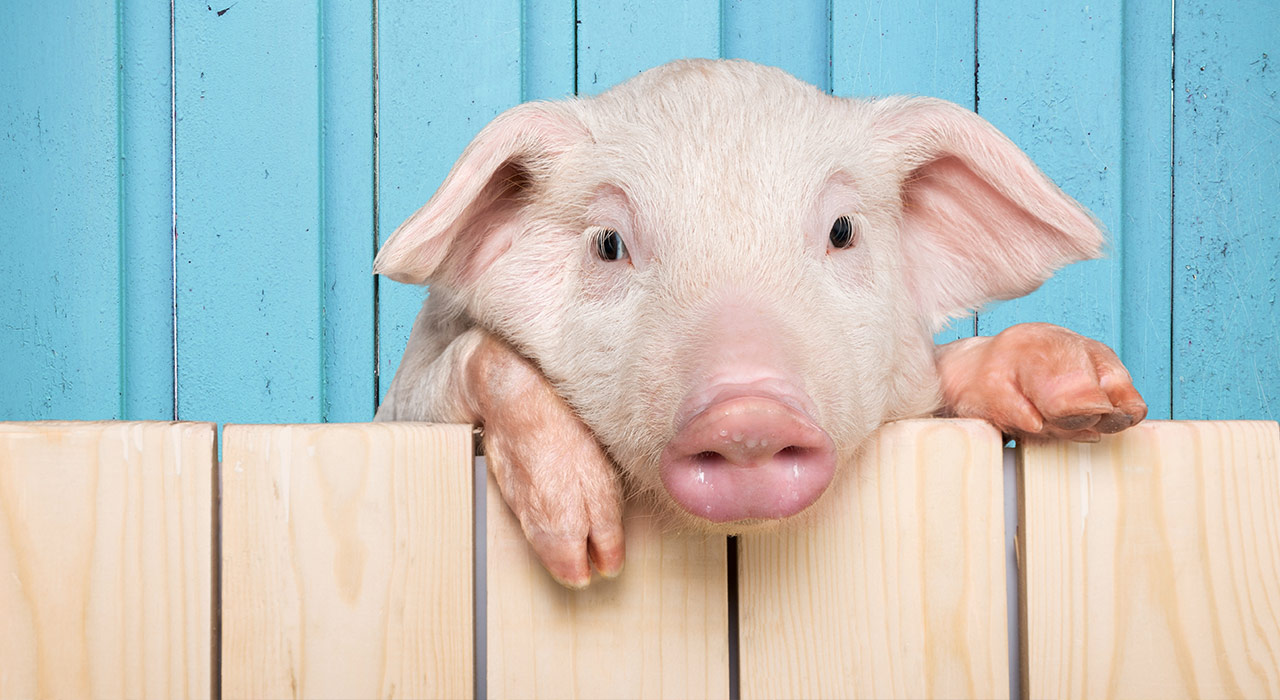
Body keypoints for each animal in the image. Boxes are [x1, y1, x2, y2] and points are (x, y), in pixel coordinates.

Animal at [373, 59, 1147, 588]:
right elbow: (479, 358)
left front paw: (1097, 403)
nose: (747, 412)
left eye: (842, 230)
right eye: (609, 243)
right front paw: (590, 559)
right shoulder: (400, 406)